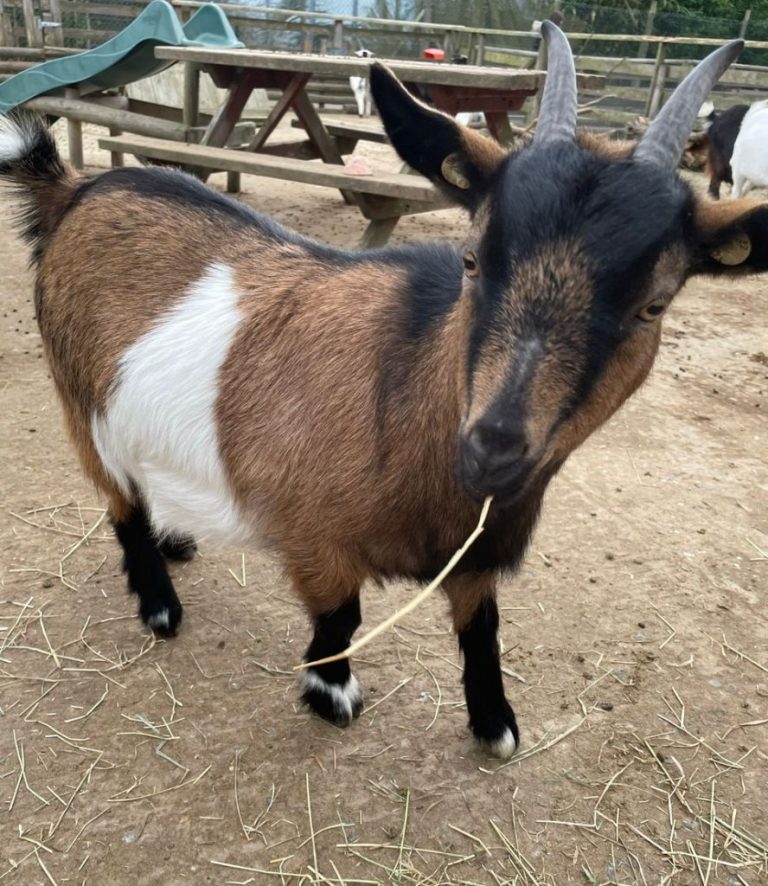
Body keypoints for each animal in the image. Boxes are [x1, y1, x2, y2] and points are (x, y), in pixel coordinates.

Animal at [2, 26, 766, 759]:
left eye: (654, 305)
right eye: (471, 259)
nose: (491, 449)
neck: (405, 387)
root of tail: (75, 191)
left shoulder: (473, 552)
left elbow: (482, 627)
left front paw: (494, 722)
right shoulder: (315, 537)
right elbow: (342, 615)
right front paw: (331, 692)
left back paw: (178, 541)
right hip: (80, 403)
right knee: (119, 500)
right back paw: (159, 604)